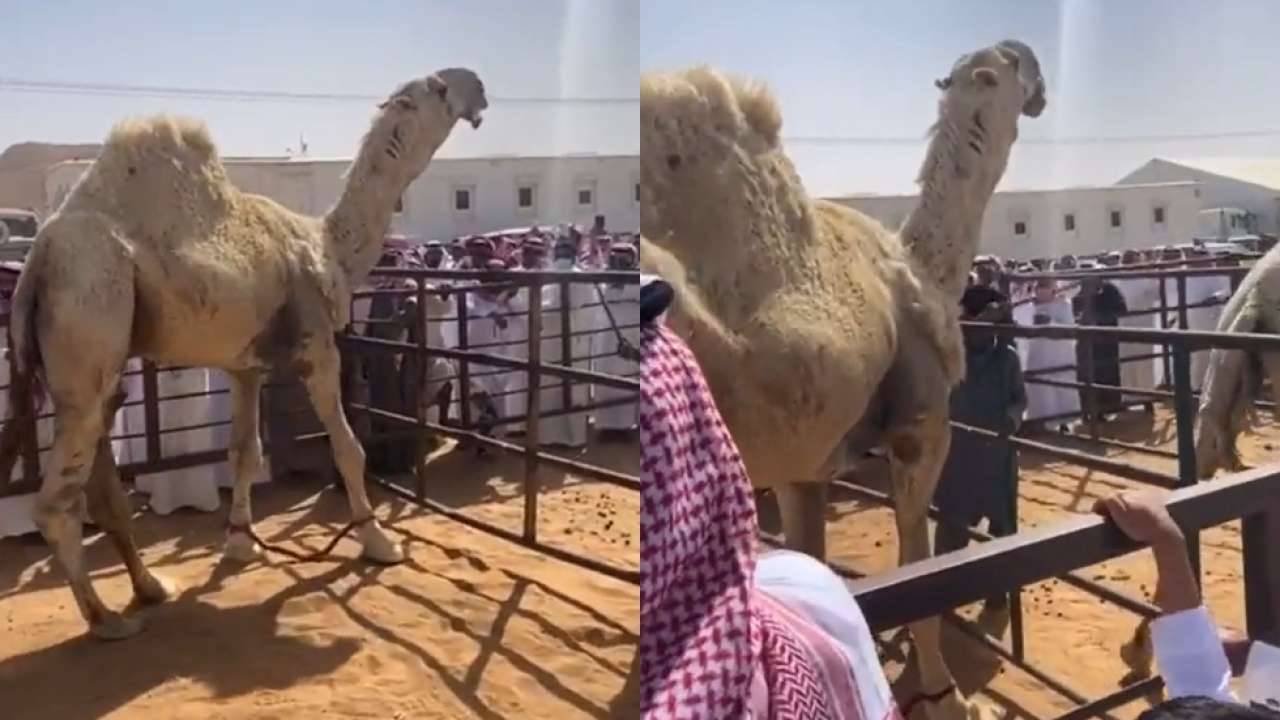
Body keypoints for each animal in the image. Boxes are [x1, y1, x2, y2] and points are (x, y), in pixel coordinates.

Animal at [0, 68, 487, 640]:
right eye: (439, 88)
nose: (477, 86)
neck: (326, 245)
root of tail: (36, 264)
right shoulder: (317, 347)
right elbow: (348, 447)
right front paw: (378, 542)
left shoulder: (244, 365)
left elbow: (244, 450)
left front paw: (237, 543)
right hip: (90, 319)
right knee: (56, 502)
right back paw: (106, 619)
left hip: (95, 359)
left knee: (100, 483)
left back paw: (152, 587)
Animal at [639, 42, 1044, 718]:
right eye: (1014, 66)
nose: (1041, 87)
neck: (921, 270)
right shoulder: (921, 428)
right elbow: (920, 568)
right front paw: (946, 695)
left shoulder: (804, 464)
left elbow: (815, 560)